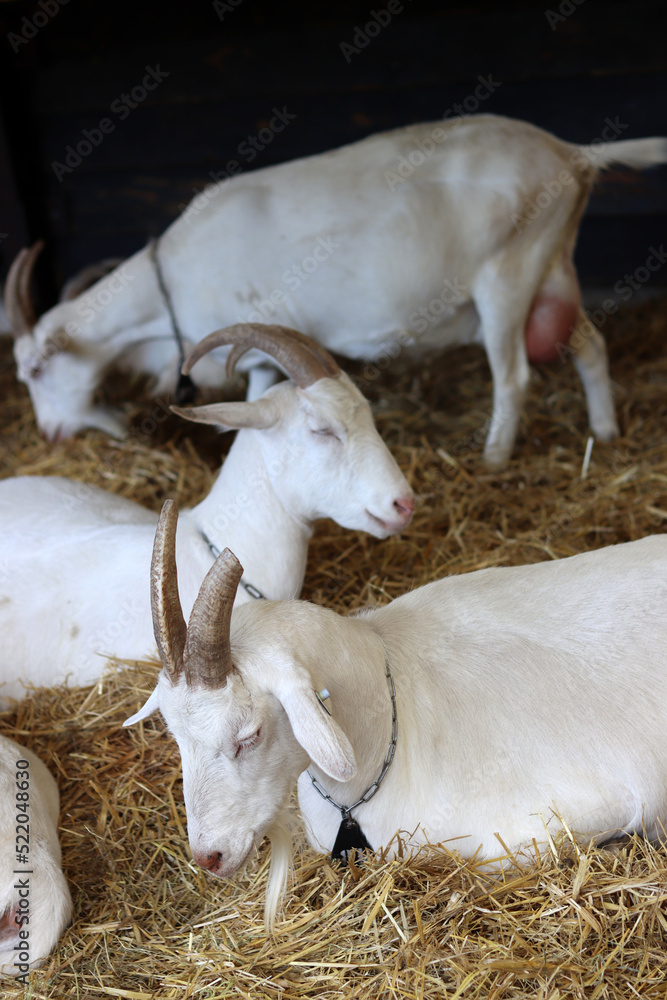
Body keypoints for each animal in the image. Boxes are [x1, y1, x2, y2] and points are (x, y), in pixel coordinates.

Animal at [7, 115, 667, 463]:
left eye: (36, 371)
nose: (50, 434)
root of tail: (571, 153)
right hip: (551, 270)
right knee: (590, 348)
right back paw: (606, 432)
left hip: (507, 278)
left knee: (515, 377)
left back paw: (493, 458)